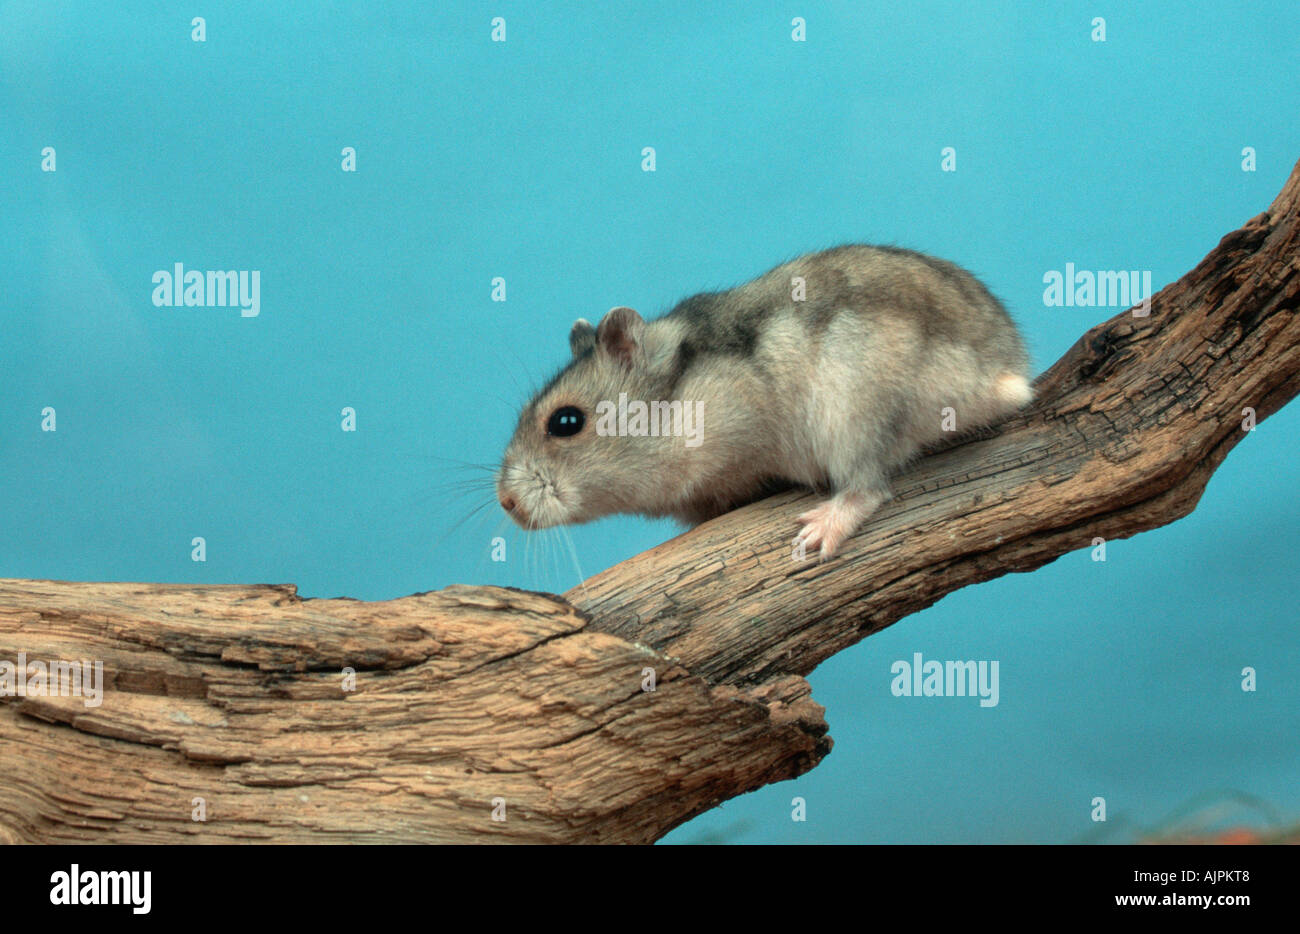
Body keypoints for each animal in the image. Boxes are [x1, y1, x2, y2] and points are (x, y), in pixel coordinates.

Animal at [496, 245, 1033, 559]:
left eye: (566, 421)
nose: (506, 503)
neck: (676, 410)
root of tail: (1004, 373)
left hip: (851, 414)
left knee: (869, 487)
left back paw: (816, 532)